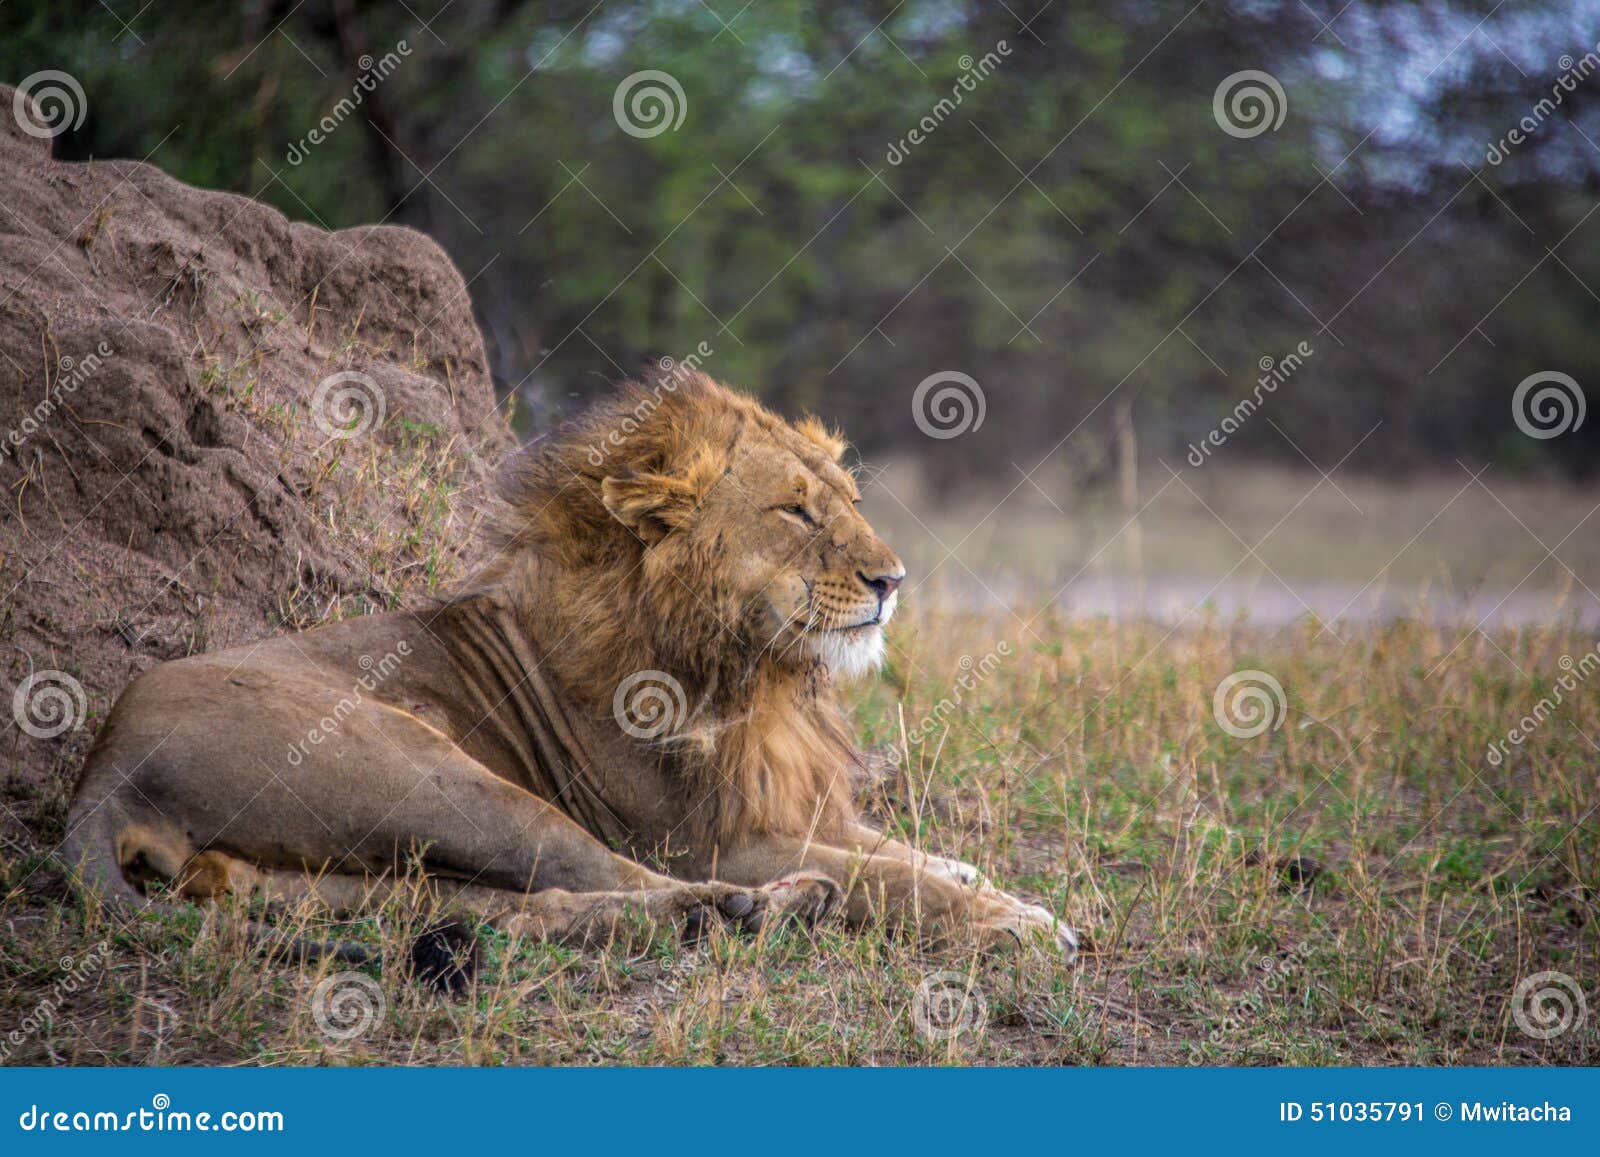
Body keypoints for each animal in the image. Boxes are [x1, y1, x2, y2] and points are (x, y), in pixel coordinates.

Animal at [63, 372, 1077, 972]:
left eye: (850, 502)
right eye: (794, 511)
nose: (893, 580)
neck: (759, 673)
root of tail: (103, 765)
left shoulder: (794, 805)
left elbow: (899, 849)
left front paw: (981, 878)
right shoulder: (708, 836)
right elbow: (886, 877)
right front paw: (1019, 921)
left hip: (338, 866)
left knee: (515, 905)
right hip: (431, 773)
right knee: (607, 874)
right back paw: (765, 908)